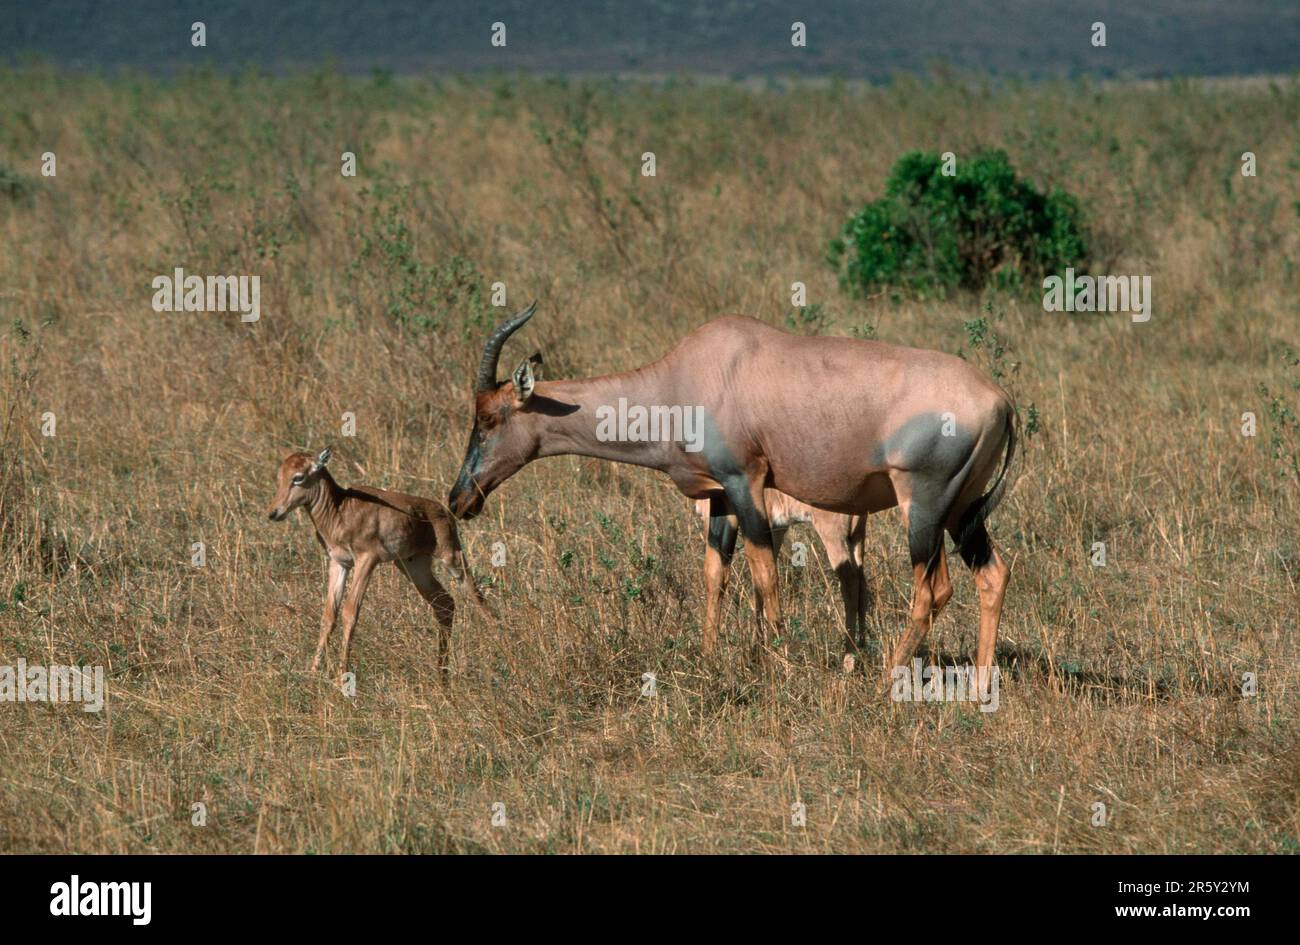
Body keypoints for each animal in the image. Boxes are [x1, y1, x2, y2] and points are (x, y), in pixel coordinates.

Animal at [267, 447, 490, 681]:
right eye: (280, 476)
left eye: (298, 477)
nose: (274, 512)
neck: (340, 508)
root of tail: (444, 512)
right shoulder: (339, 563)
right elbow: (329, 614)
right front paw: (312, 671)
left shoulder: (367, 560)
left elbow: (350, 611)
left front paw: (341, 675)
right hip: (413, 566)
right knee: (444, 602)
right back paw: (442, 672)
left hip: (451, 557)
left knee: (476, 596)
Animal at [696, 494, 868, 658]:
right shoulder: (774, 527)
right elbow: (761, 581)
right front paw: (760, 650)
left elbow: (716, 576)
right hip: (856, 538)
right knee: (861, 584)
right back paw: (862, 650)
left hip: (833, 536)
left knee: (850, 584)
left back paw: (848, 660)